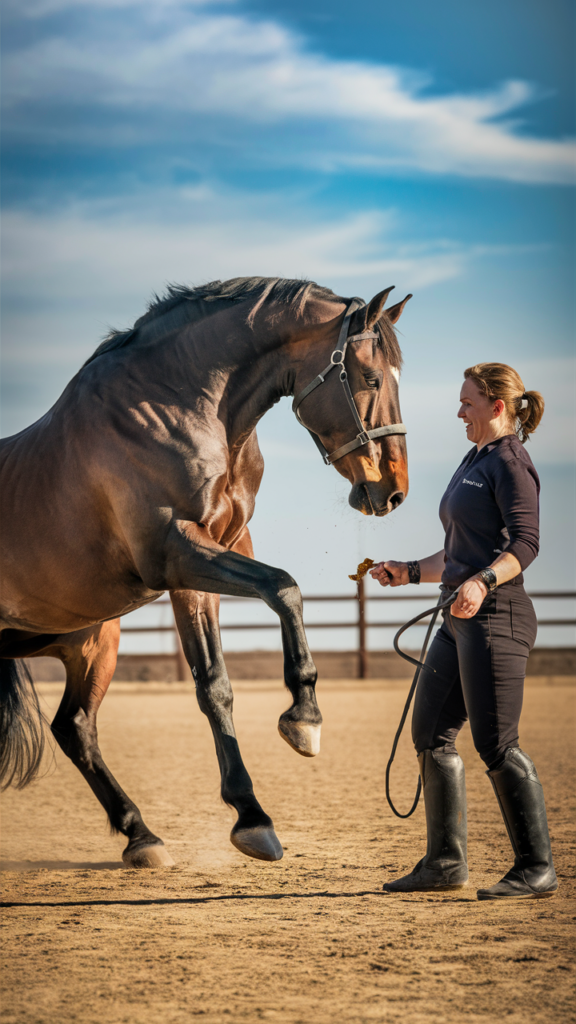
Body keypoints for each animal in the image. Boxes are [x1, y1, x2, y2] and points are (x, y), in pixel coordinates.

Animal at [0, 276, 410, 867]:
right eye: (371, 377)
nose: (394, 490)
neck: (179, 406)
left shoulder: (207, 562)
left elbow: (220, 679)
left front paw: (259, 804)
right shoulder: (178, 554)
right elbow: (282, 587)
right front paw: (300, 726)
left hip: (91, 641)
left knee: (75, 728)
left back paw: (141, 836)